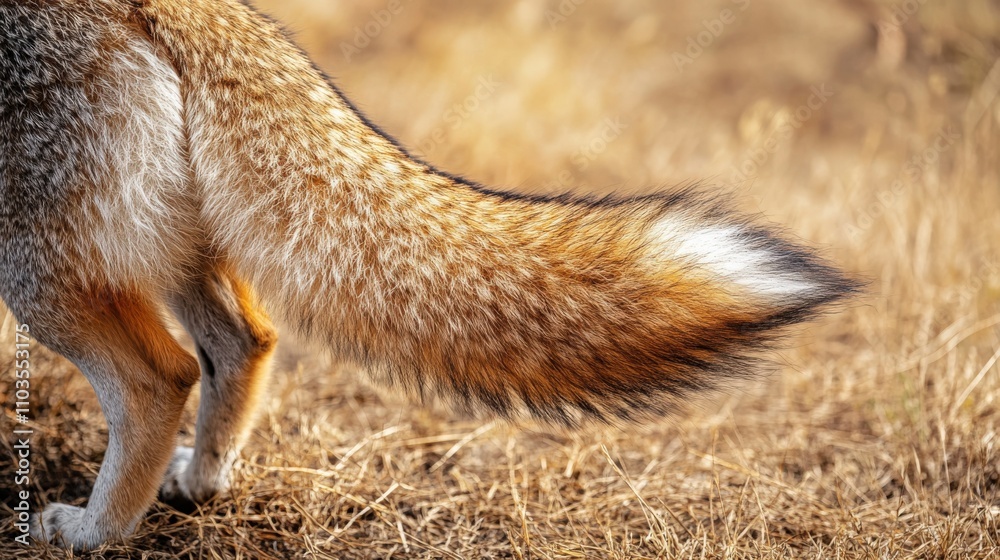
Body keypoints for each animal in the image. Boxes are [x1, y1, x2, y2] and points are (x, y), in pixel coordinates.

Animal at [0, 0, 857, 550]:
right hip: (156, 255)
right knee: (244, 342)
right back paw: (197, 484)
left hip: (38, 274)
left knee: (162, 376)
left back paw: (91, 532)